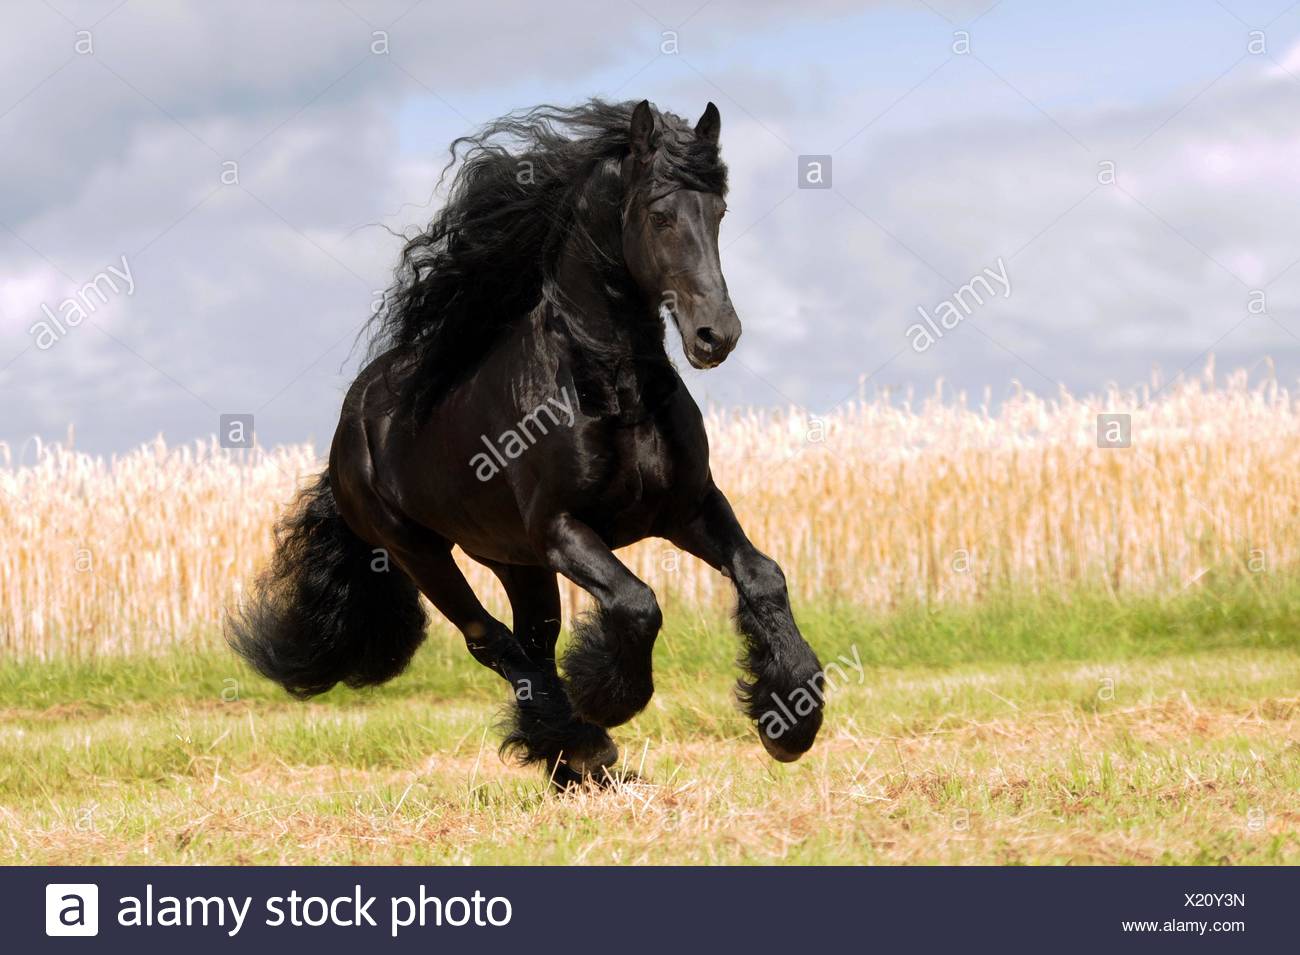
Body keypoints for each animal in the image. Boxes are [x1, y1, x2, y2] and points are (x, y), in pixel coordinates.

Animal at [227, 99, 826, 787]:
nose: (715, 336)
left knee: (530, 642)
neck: (612, 388)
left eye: (718, 212)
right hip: (421, 552)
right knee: (492, 639)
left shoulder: (689, 507)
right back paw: (582, 743)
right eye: (659, 215)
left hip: (516, 562)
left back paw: (565, 755)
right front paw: (608, 698)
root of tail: (349, 429)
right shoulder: (562, 529)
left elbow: (762, 575)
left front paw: (791, 720)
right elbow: (636, 603)